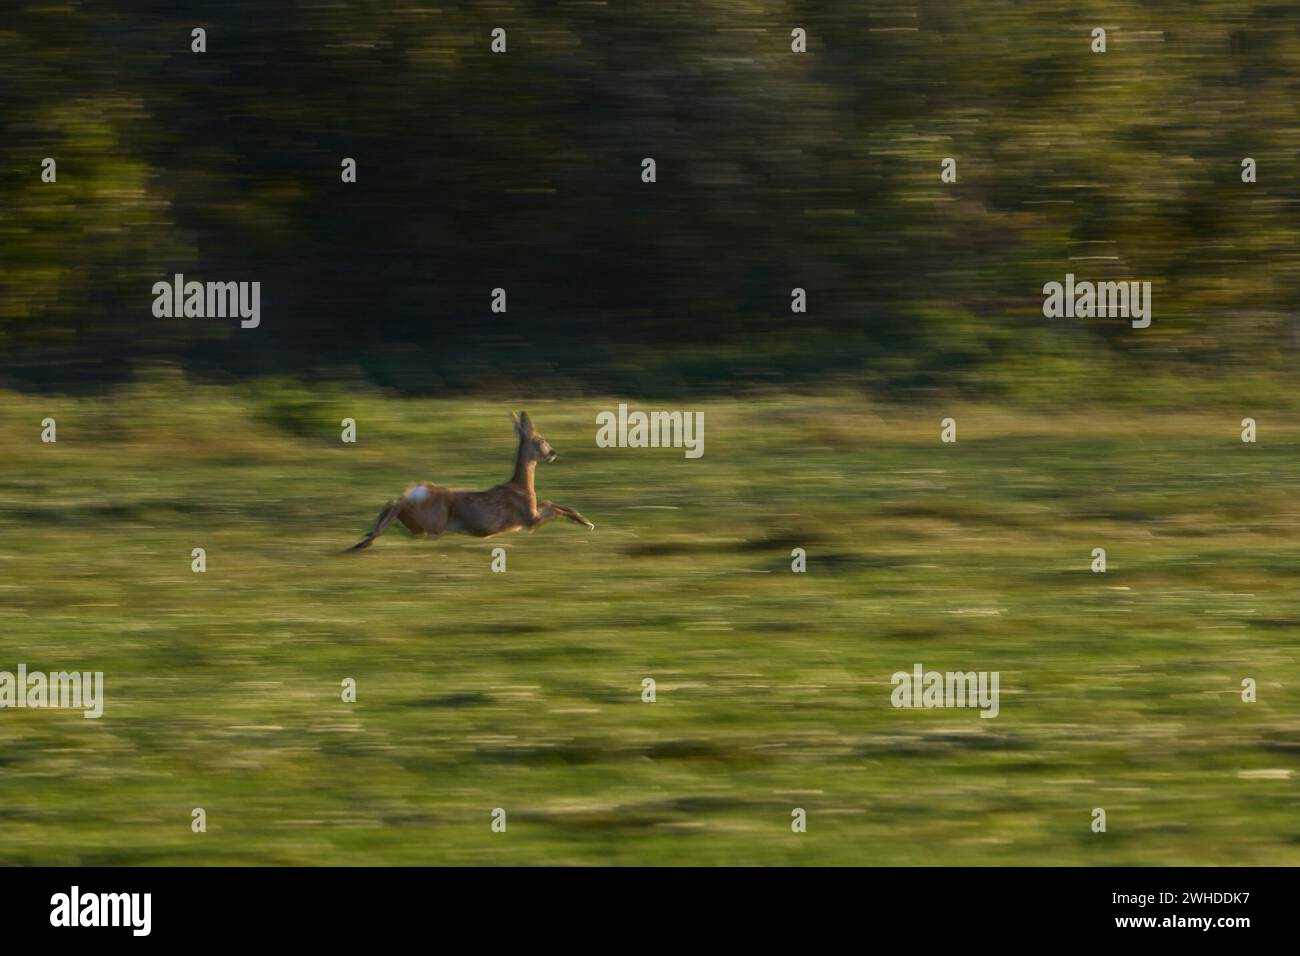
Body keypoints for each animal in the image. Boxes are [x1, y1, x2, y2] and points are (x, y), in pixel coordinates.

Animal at [348, 411, 594, 551]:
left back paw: (366, 538)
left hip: (420, 524)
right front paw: (587, 522)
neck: (522, 486)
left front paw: (584, 519)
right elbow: (554, 510)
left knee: (392, 503)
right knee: (396, 504)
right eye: (542, 439)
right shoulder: (529, 519)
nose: (554, 452)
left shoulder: (532, 510)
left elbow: (552, 503)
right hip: (432, 522)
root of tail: (419, 490)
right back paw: (366, 540)